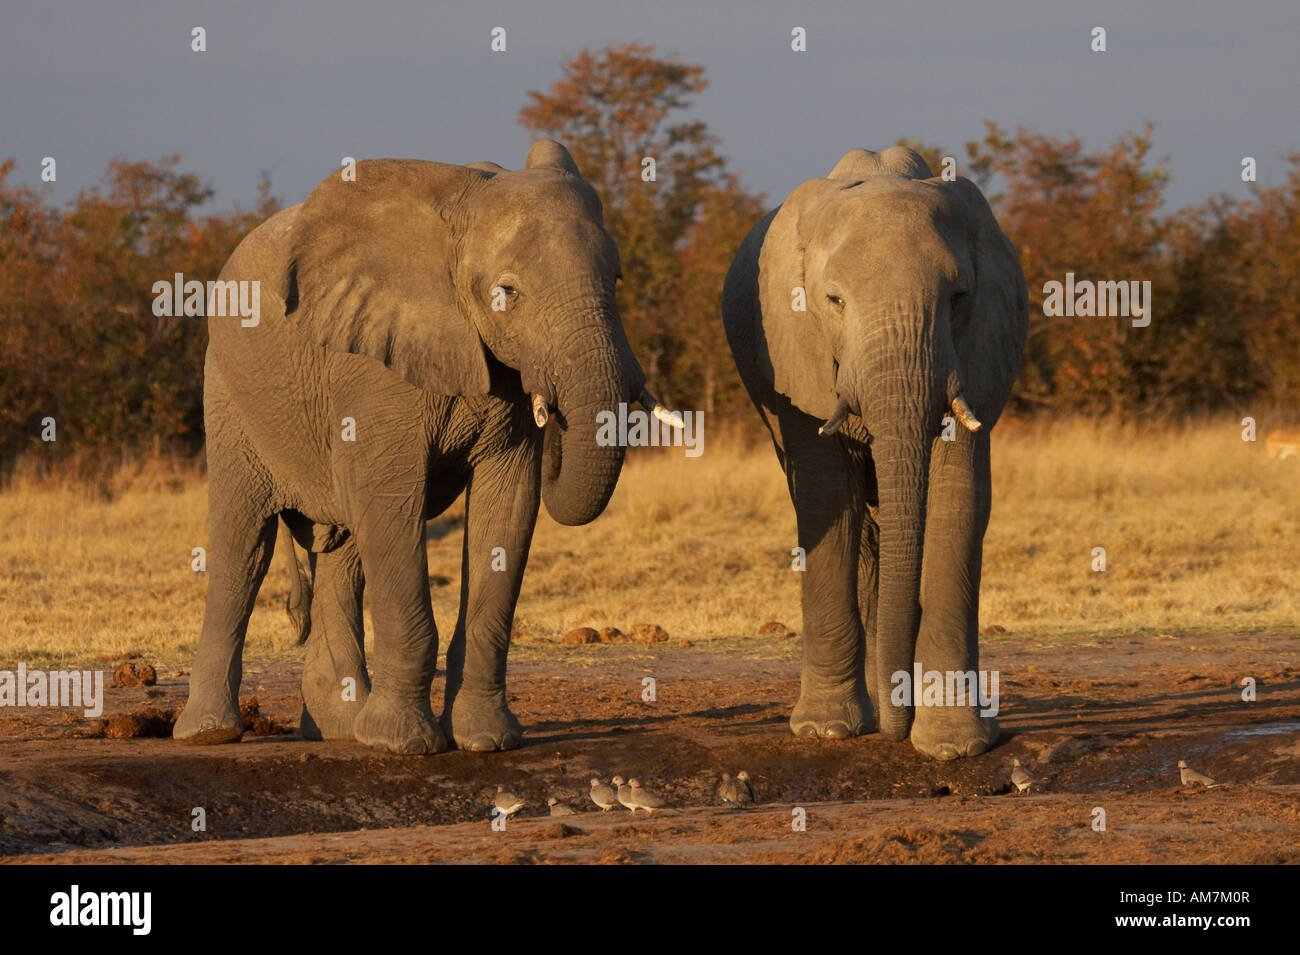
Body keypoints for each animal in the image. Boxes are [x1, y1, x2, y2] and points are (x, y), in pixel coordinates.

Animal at [173, 140, 674, 754]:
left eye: (619, 279)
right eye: (507, 293)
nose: (553, 407)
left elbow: (507, 508)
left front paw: (488, 741)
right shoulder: (372, 368)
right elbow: (391, 503)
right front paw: (406, 746)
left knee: (344, 551)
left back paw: (342, 729)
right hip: (228, 393)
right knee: (243, 547)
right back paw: (211, 733)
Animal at [721, 146, 1028, 759]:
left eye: (959, 298)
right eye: (834, 301)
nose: (896, 729)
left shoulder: (979, 350)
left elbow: (959, 503)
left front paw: (953, 747)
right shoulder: (797, 354)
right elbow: (826, 498)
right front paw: (825, 731)